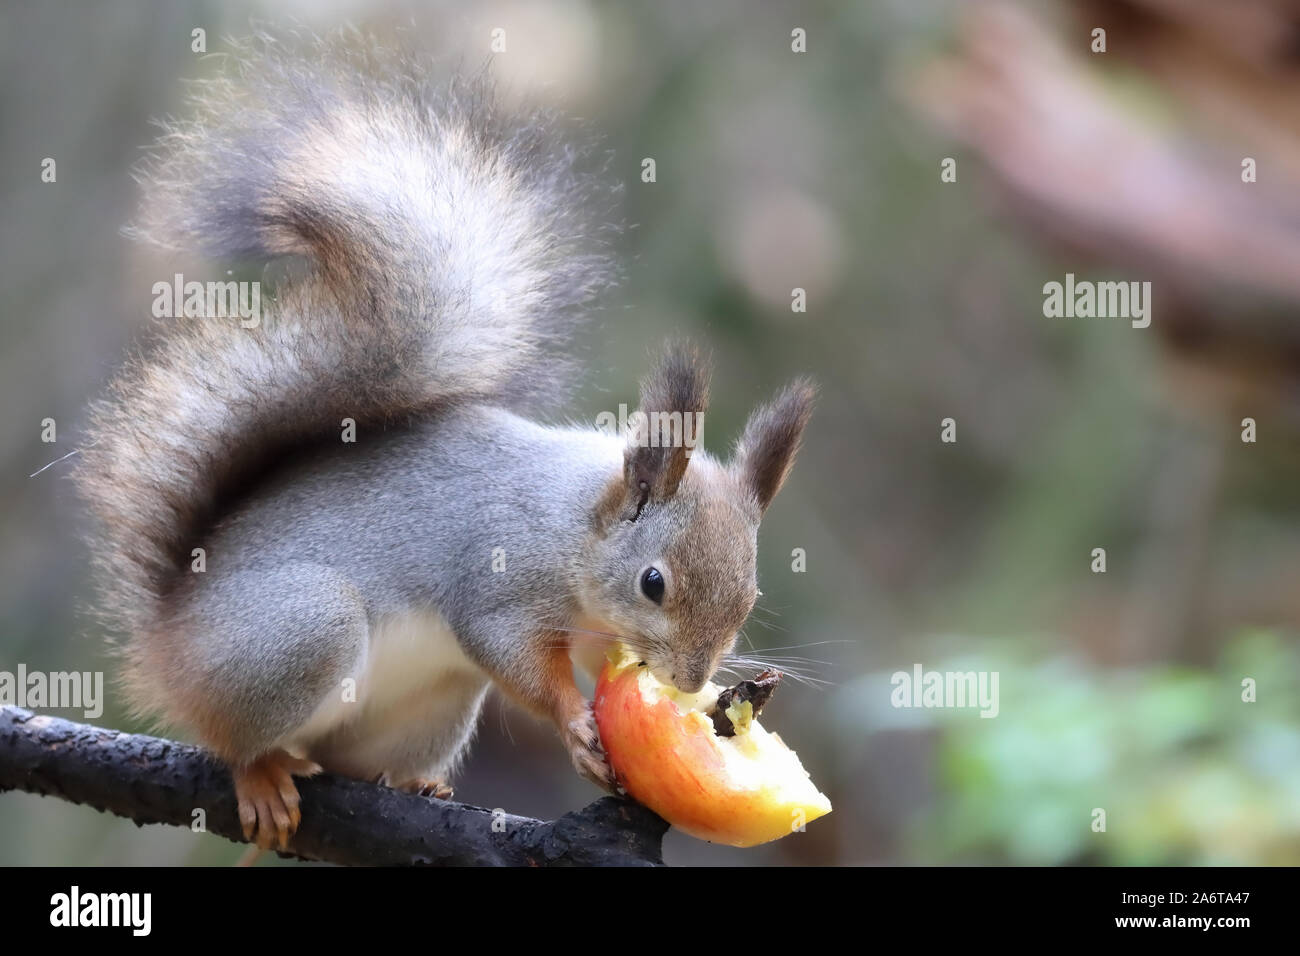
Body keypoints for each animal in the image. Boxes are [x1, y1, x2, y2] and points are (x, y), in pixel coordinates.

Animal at [74, 33, 815, 850]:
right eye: (654, 582)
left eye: (750, 594)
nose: (688, 681)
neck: (575, 525)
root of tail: (167, 642)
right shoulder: (497, 577)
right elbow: (514, 658)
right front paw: (574, 724)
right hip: (298, 633)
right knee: (237, 736)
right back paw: (261, 773)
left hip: (433, 704)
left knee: (345, 756)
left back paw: (410, 783)